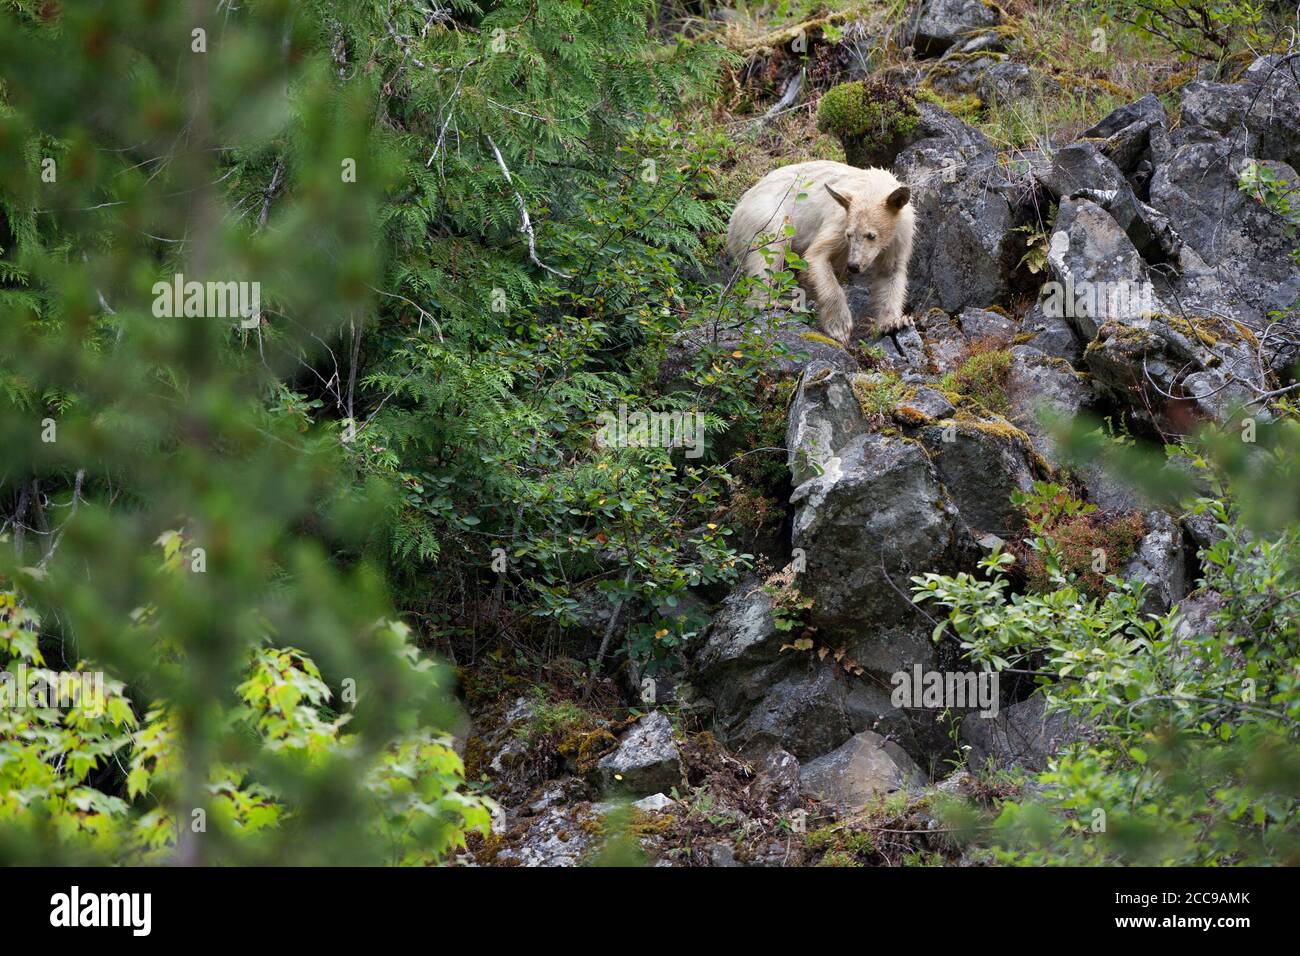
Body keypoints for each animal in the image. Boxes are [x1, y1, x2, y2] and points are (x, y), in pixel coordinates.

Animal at [725, 160, 914, 345]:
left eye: (871, 235)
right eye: (849, 235)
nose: (853, 265)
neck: (872, 184)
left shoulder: (899, 235)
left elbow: (890, 273)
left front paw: (895, 322)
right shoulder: (840, 220)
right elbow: (817, 255)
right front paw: (840, 326)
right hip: (764, 216)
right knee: (772, 248)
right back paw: (773, 302)